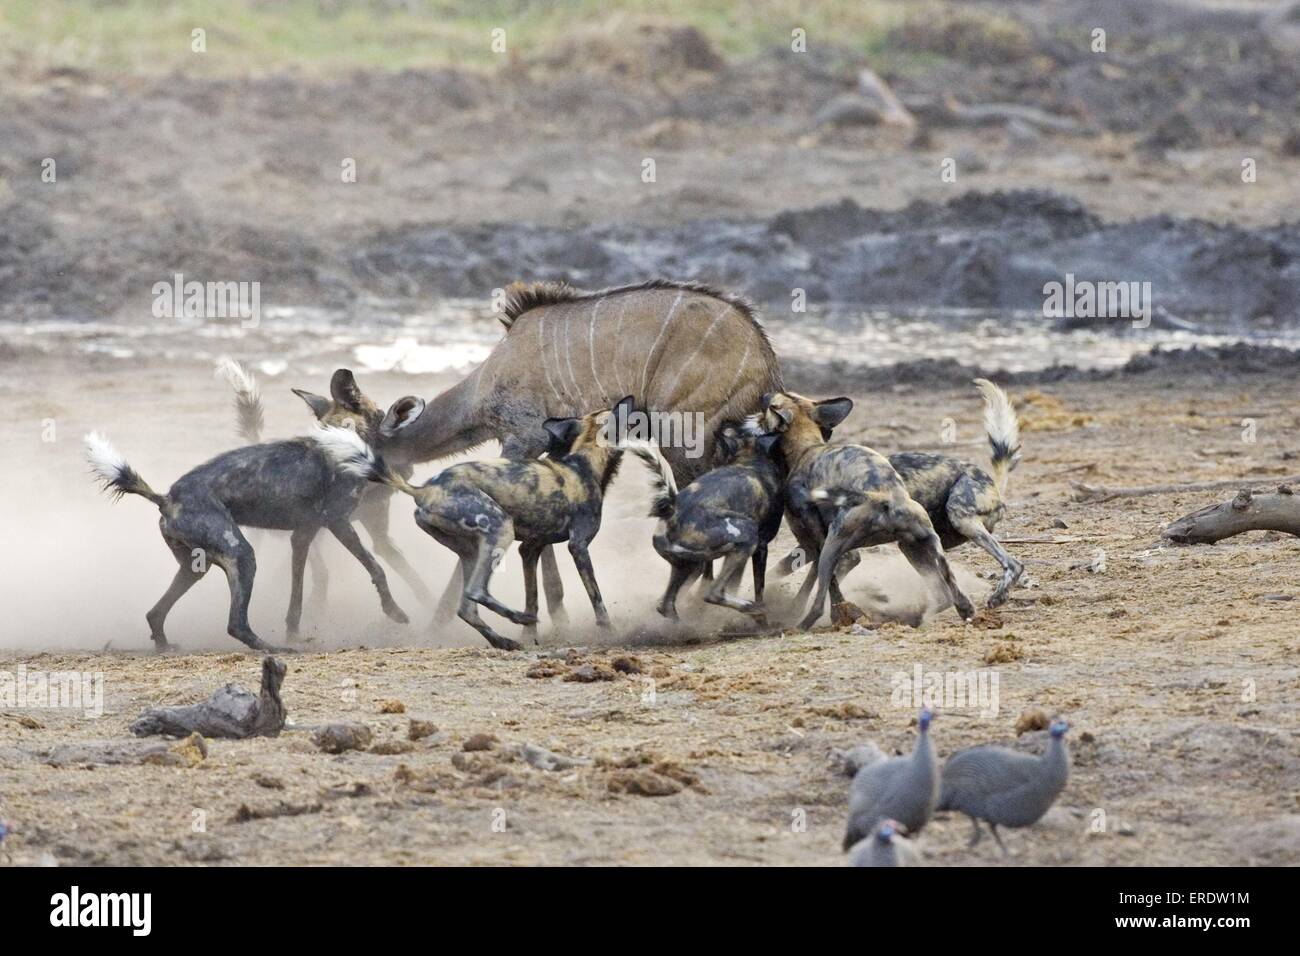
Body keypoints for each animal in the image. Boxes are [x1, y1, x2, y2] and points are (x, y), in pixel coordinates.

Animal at [86, 369, 408, 655]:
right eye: (381, 412)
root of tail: (165, 498)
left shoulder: (302, 536)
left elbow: (296, 598)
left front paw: (295, 633)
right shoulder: (339, 522)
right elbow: (376, 568)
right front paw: (394, 611)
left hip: (194, 568)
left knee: (155, 613)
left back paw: (165, 646)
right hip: (242, 556)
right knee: (236, 624)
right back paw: (275, 649)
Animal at [319, 395, 634, 650]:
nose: (634, 403)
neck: (583, 460)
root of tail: (423, 490)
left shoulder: (530, 549)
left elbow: (533, 594)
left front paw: (530, 634)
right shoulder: (578, 546)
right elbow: (597, 599)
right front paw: (609, 632)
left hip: (472, 550)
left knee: (466, 608)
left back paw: (504, 640)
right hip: (500, 530)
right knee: (476, 591)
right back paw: (515, 618)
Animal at [759, 390, 977, 629]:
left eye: (773, 403)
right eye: (790, 394)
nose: (766, 393)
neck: (807, 447)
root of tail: (887, 498)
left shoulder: (814, 541)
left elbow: (819, 584)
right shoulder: (814, 545)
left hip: (833, 546)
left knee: (818, 603)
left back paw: (801, 626)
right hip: (920, 547)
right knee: (951, 596)